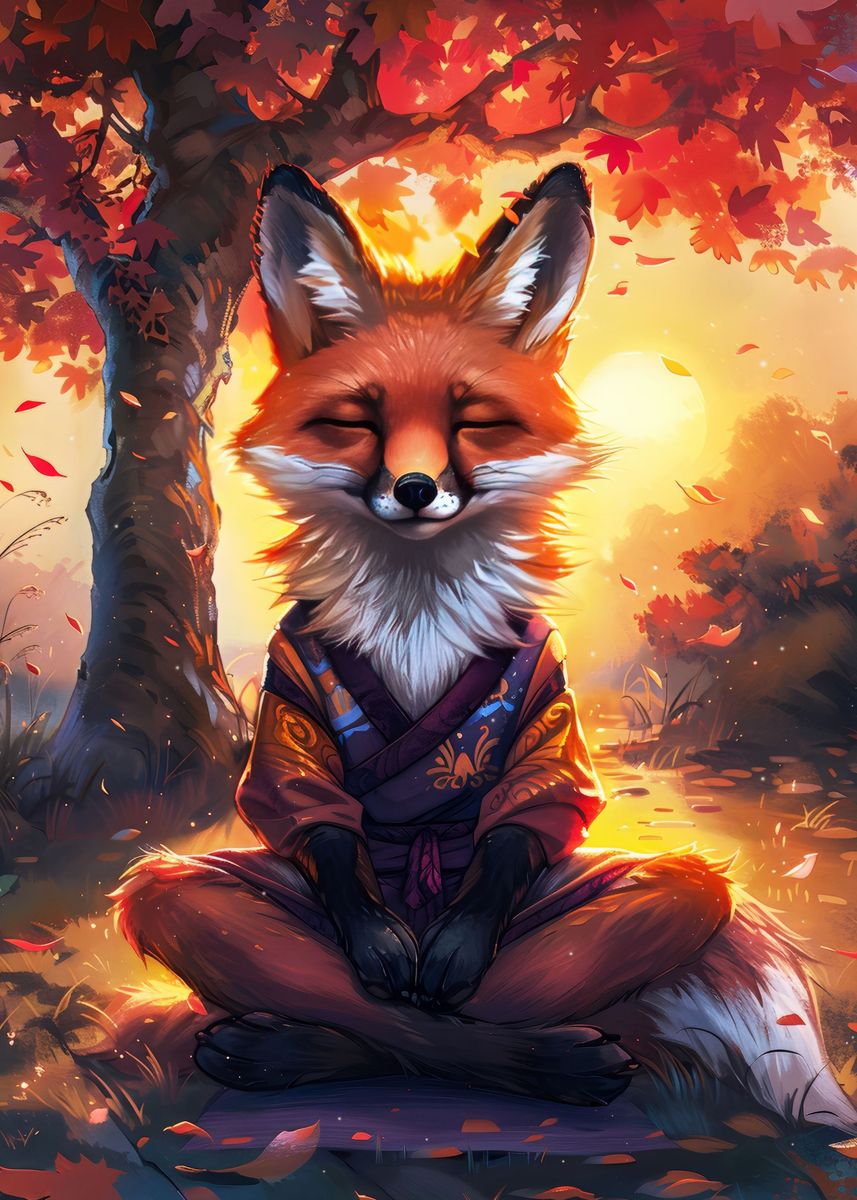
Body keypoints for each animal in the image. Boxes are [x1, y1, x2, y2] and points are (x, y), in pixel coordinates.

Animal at [113, 163, 856, 1139]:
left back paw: (528, 1048)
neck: (418, 615)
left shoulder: (545, 682)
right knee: (343, 994)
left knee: (524, 994)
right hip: (173, 887)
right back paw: (307, 1039)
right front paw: (379, 945)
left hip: (674, 885)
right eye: (358, 422)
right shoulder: (291, 682)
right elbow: (312, 815)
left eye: (472, 423)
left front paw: (456, 955)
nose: (414, 488)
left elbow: (530, 812)